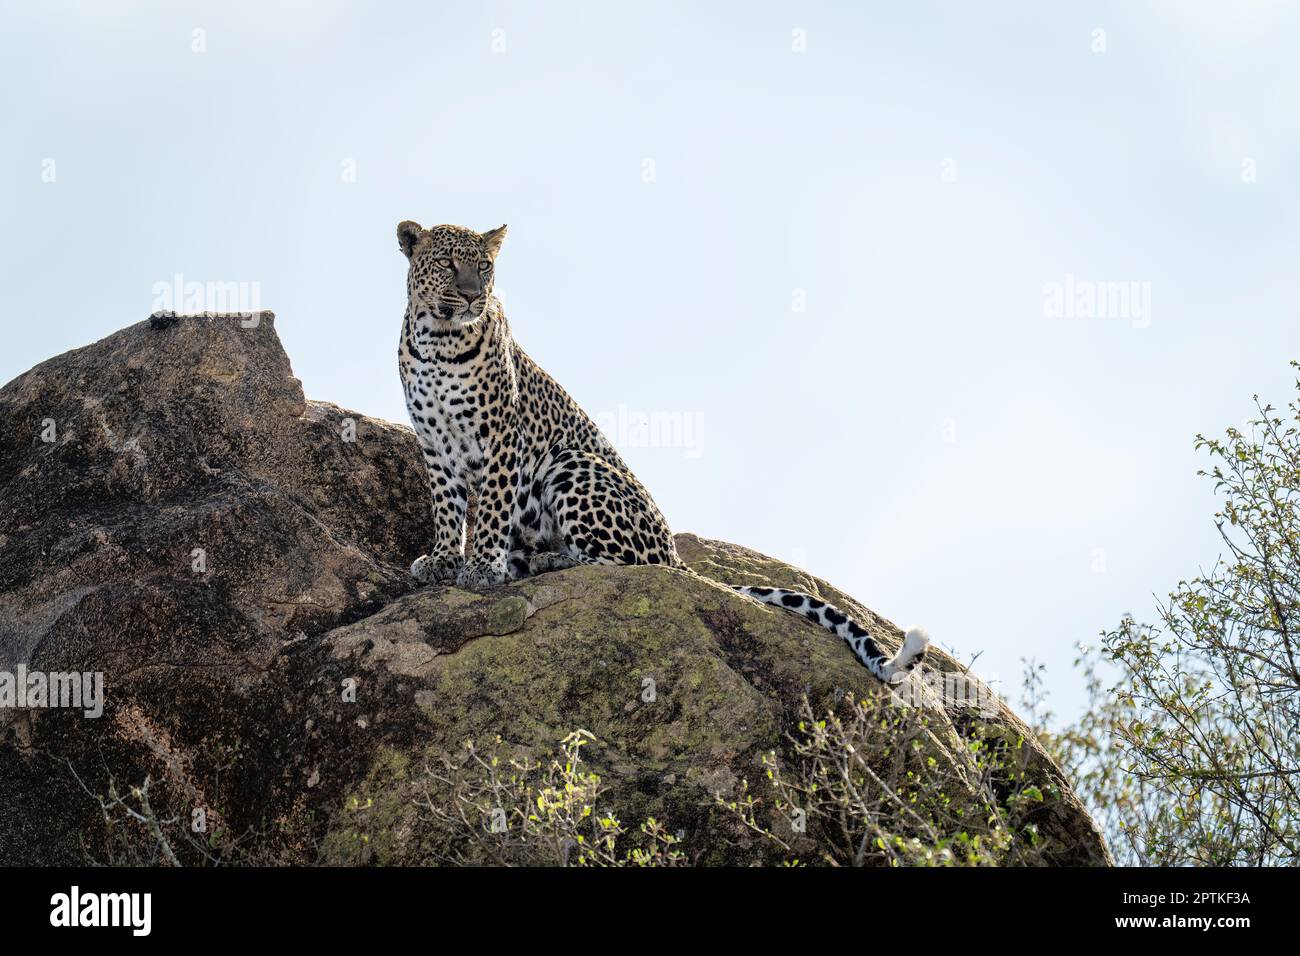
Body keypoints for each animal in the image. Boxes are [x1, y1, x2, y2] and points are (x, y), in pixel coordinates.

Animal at [397, 220, 929, 683]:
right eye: (447, 263)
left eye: (484, 266)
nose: (473, 295)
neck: (439, 341)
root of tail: (674, 550)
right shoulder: (434, 443)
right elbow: (447, 508)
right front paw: (443, 560)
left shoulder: (503, 437)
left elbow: (490, 509)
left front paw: (483, 567)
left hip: (572, 464)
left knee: (624, 568)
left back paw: (536, 562)